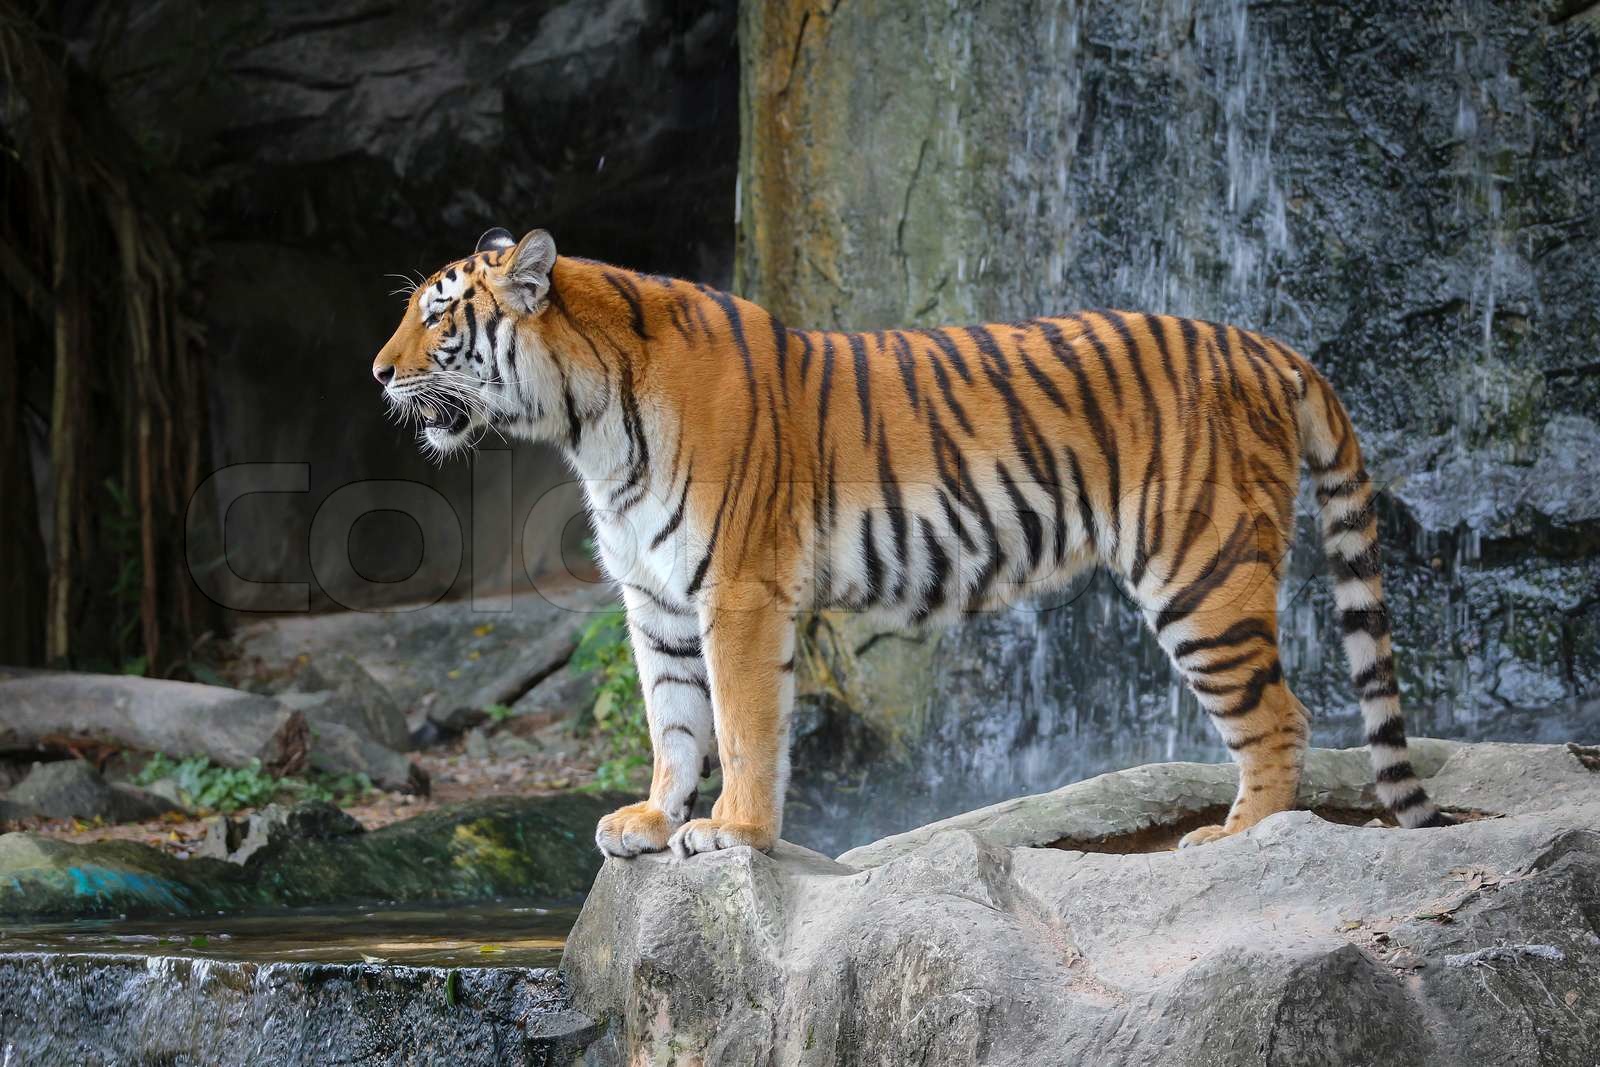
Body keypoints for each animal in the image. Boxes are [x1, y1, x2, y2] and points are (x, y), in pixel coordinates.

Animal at [371, 226, 1455, 859]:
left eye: (438, 314)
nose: (378, 371)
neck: (586, 422)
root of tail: (1267, 344)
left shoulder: (739, 590)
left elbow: (744, 724)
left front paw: (733, 832)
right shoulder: (657, 598)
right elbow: (674, 720)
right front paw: (651, 819)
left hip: (1203, 570)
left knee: (1281, 717)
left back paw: (1236, 841)